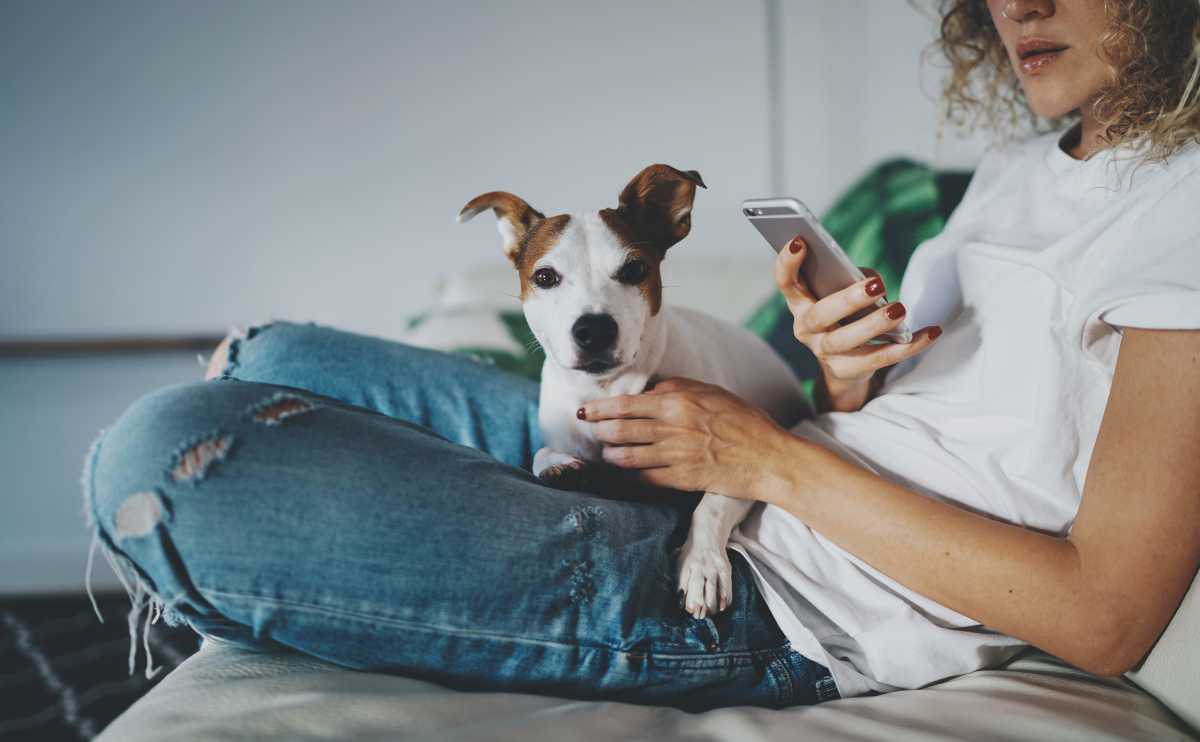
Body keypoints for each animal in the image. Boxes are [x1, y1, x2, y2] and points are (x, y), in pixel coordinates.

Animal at [456, 164, 806, 614]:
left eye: (634, 270)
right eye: (545, 277)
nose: (593, 329)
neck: (605, 390)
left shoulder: (743, 468)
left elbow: (711, 505)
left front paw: (702, 565)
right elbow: (541, 453)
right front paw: (560, 465)